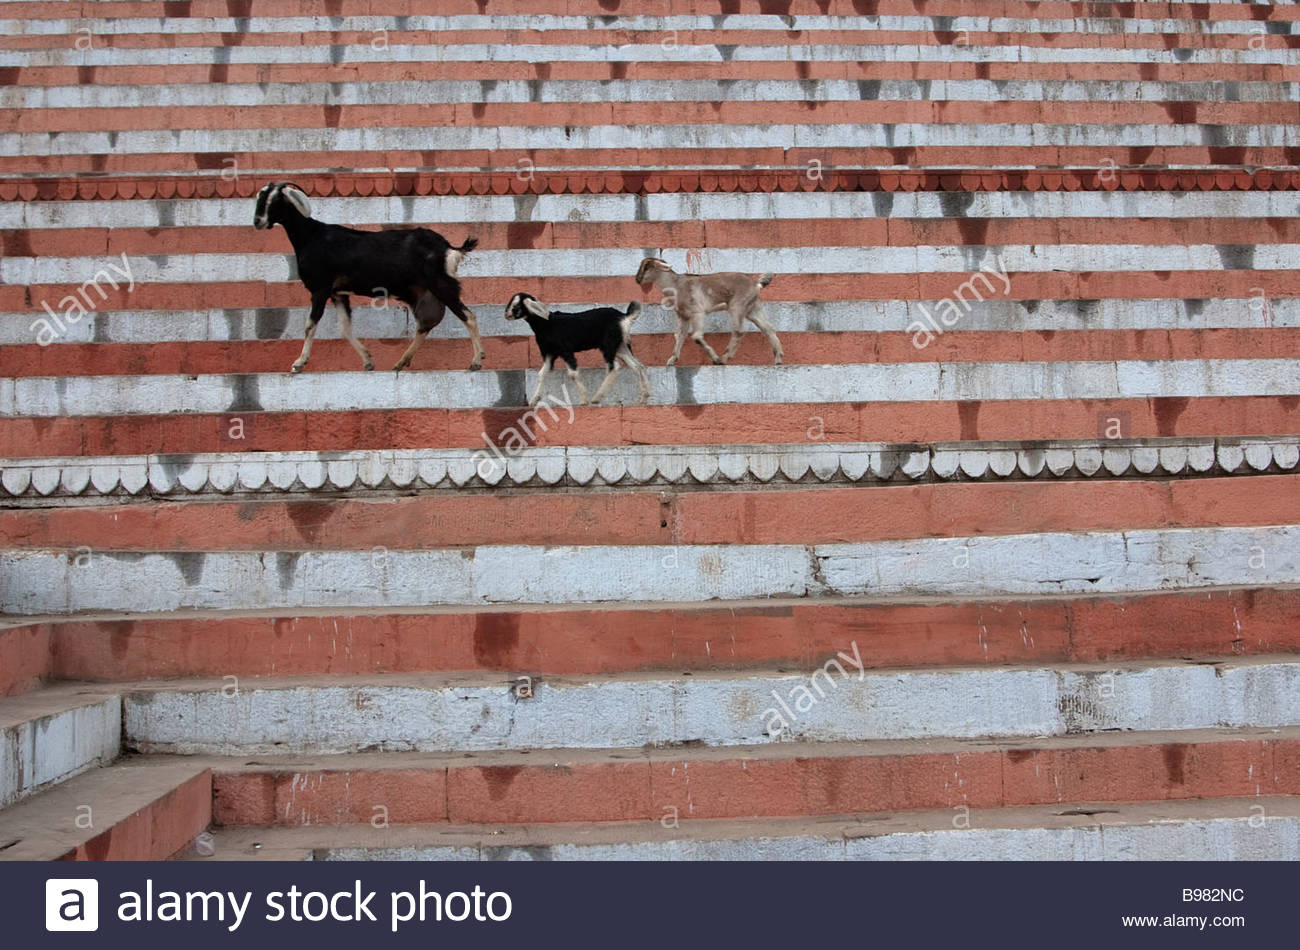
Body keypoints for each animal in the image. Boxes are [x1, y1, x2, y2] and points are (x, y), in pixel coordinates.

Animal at [253, 181, 485, 373]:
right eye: (260, 197)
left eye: (276, 200)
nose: (258, 221)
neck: (310, 236)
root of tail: (448, 247)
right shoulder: (338, 293)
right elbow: (345, 328)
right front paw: (368, 361)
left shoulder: (320, 289)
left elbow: (310, 324)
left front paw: (298, 363)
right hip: (421, 293)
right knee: (426, 323)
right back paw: (401, 362)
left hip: (441, 285)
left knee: (468, 316)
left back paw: (476, 361)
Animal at [504, 293, 651, 407]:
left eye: (516, 306)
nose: (506, 314)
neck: (546, 324)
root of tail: (624, 317)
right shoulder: (549, 354)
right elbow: (541, 374)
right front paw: (534, 400)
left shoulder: (565, 351)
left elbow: (573, 374)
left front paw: (584, 400)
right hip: (621, 347)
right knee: (638, 366)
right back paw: (644, 398)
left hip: (608, 345)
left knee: (614, 367)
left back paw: (597, 397)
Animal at [635, 256, 783, 366]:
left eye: (646, 266)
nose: (637, 279)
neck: (676, 286)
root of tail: (756, 284)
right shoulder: (684, 316)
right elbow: (680, 336)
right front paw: (672, 360)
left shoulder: (697, 312)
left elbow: (697, 337)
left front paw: (715, 358)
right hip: (753, 309)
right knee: (768, 328)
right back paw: (778, 359)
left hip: (737, 306)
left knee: (739, 331)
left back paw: (723, 358)